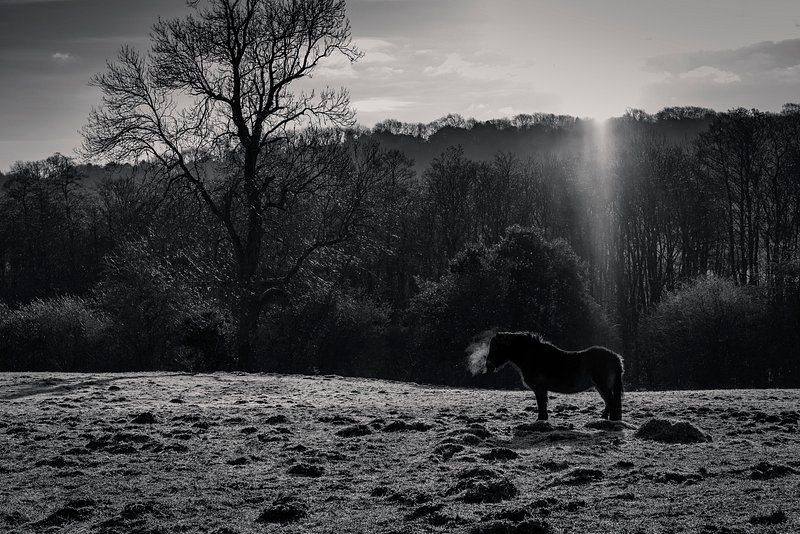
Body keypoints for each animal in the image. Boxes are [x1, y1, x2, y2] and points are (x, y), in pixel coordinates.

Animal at [483, 331, 624, 421]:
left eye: (495, 348)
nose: (488, 366)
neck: (532, 356)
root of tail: (616, 357)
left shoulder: (539, 388)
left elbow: (541, 403)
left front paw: (539, 420)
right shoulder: (543, 389)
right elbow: (543, 404)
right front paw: (543, 419)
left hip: (602, 386)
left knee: (611, 403)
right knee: (609, 403)